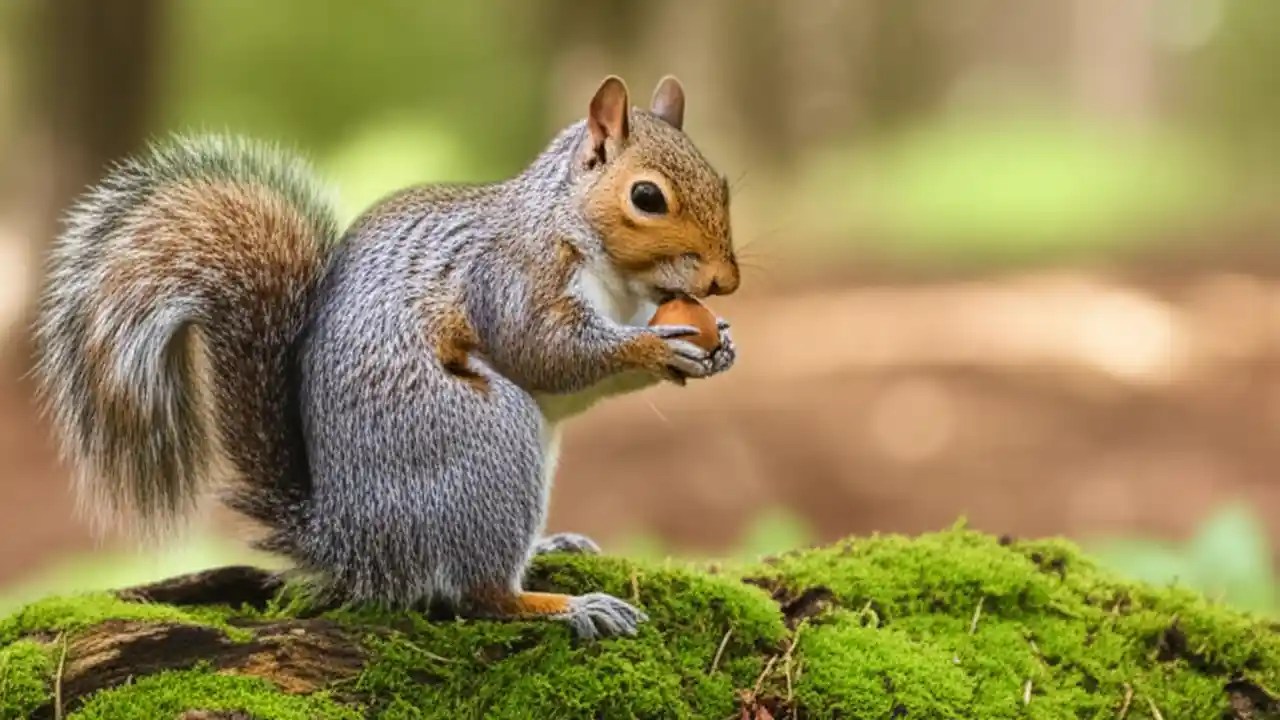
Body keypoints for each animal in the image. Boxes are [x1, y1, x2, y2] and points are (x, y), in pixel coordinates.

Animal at [33, 74, 740, 640]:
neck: (612, 273)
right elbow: (545, 352)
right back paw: (564, 606)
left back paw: (551, 545)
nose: (725, 282)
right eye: (646, 197)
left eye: (723, 183)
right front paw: (653, 344)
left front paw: (718, 346)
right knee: (480, 594)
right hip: (487, 441)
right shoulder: (510, 276)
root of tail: (348, 544)